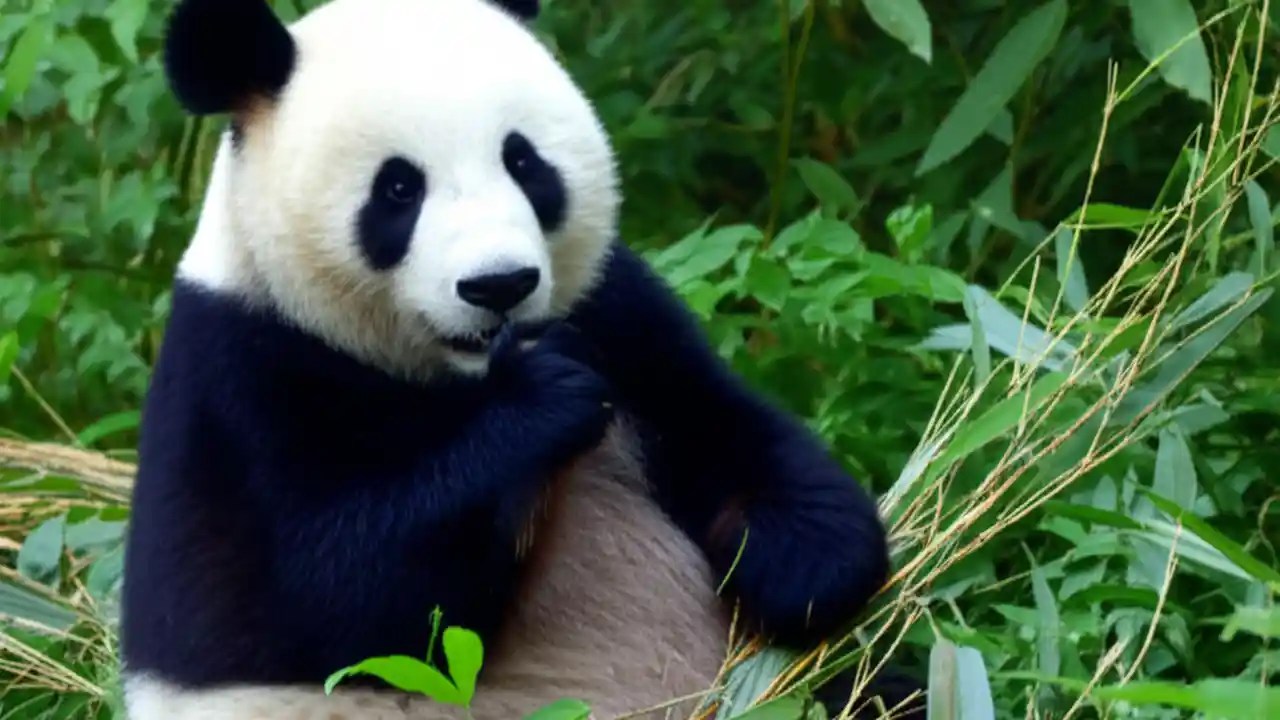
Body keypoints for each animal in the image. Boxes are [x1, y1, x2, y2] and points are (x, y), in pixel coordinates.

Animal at [118, 0, 924, 718]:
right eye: (398, 188)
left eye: (524, 161)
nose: (499, 285)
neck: (457, 375)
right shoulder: (245, 380)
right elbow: (335, 603)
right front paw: (544, 401)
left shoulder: (615, 310)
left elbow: (728, 432)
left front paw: (796, 570)